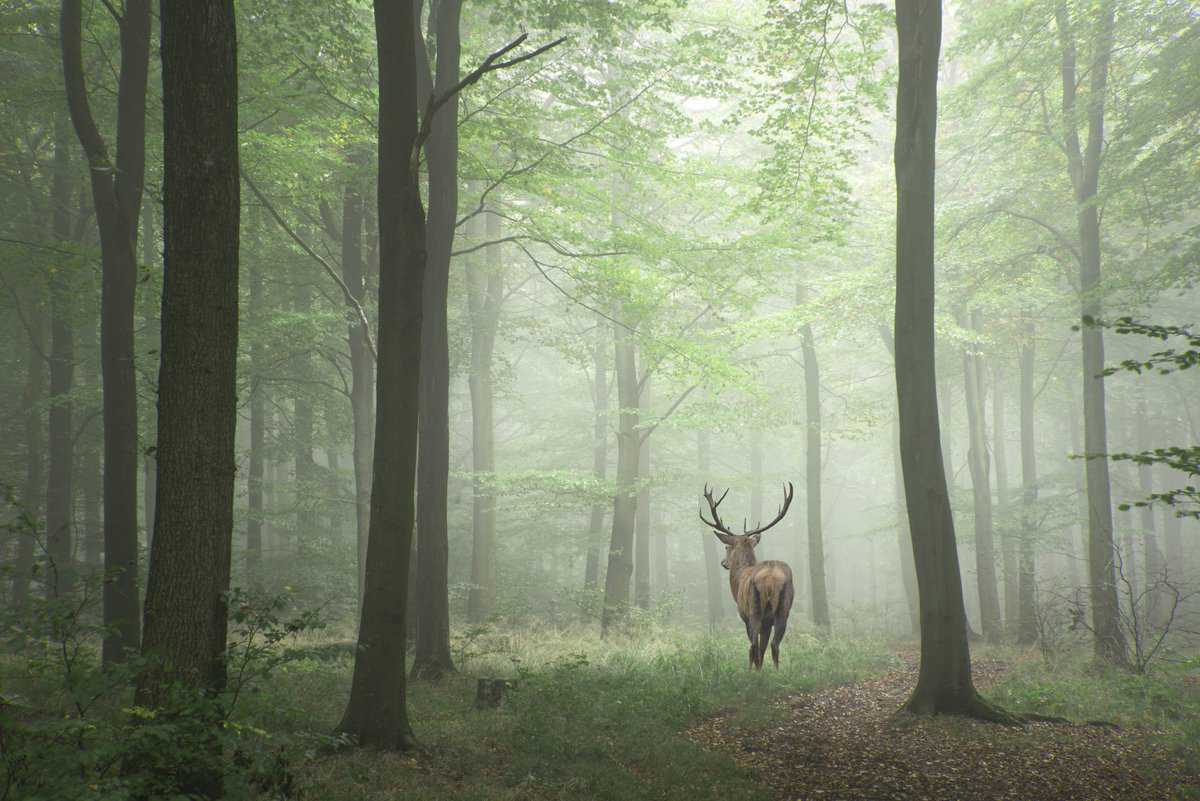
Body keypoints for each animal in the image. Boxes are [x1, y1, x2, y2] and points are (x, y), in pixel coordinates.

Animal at [700, 482, 795, 670]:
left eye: (727, 547)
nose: (723, 562)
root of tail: (771, 580)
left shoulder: (743, 615)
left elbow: (755, 648)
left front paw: (755, 671)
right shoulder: (767, 623)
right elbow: (763, 648)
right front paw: (761, 671)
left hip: (754, 608)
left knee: (753, 646)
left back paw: (751, 673)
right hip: (783, 608)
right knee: (774, 645)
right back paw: (776, 672)